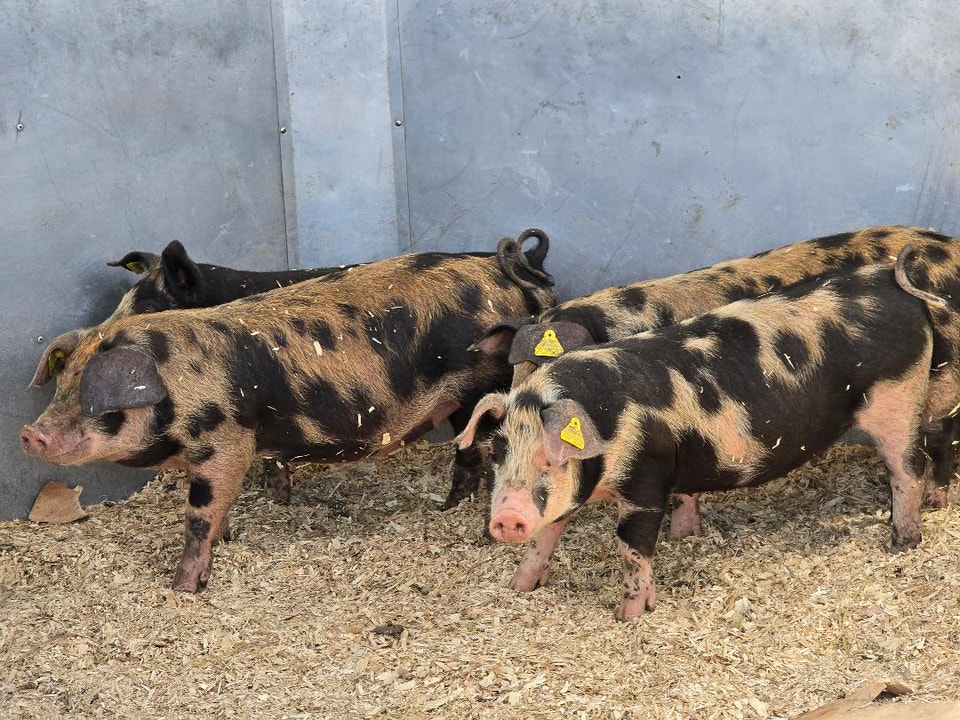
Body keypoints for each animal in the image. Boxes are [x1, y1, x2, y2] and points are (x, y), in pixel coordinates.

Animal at [457, 247, 960, 620]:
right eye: (498, 452)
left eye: (551, 455)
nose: (505, 518)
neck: (606, 419)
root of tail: (889, 280)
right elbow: (547, 534)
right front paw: (518, 586)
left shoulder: (646, 482)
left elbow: (632, 548)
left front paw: (629, 615)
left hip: (899, 401)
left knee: (909, 468)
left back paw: (903, 542)